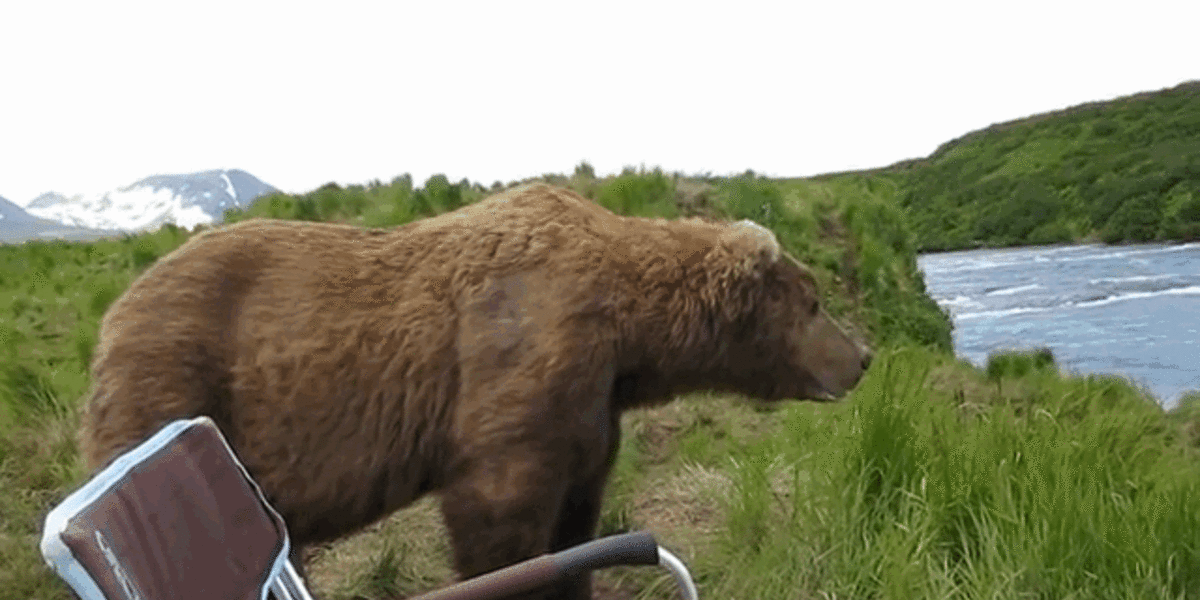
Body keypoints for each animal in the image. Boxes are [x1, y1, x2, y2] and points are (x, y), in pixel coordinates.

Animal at [79, 183, 871, 600]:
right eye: (812, 302)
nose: (861, 357)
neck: (628, 332)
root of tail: (112, 314)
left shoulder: (591, 408)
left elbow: (577, 515)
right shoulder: (518, 361)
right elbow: (498, 518)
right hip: (174, 383)